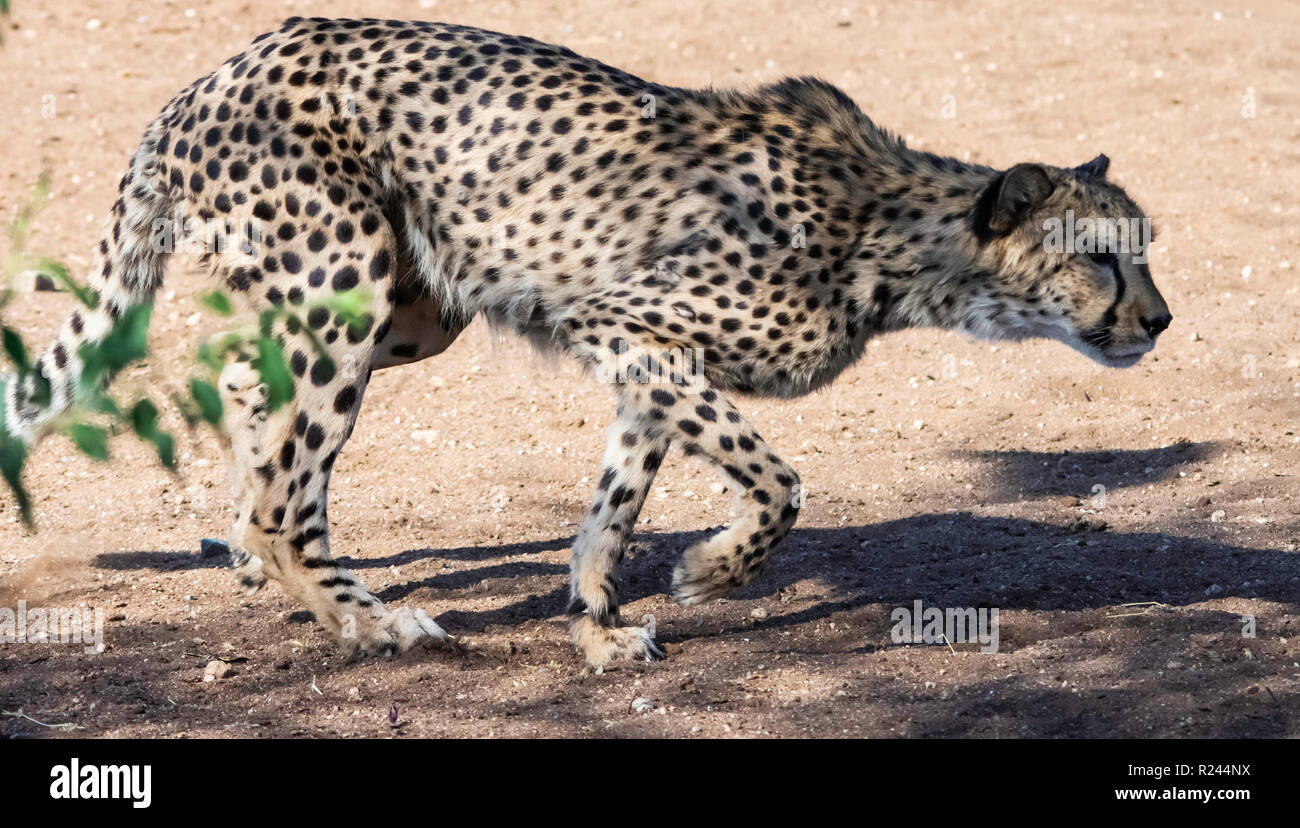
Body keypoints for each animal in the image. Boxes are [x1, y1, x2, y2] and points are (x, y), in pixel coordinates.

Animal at [2, 17, 1171, 667]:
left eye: (1145, 250)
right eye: (1098, 259)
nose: (1157, 320)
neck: (895, 231)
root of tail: (214, 74)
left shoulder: (647, 356)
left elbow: (616, 504)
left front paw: (597, 624)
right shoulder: (623, 324)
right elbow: (781, 482)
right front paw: (708, 573)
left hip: (410, 310)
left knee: (254, 389)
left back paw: (258, 561)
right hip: (348, 286)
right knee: (288, 496)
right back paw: (371, 624)